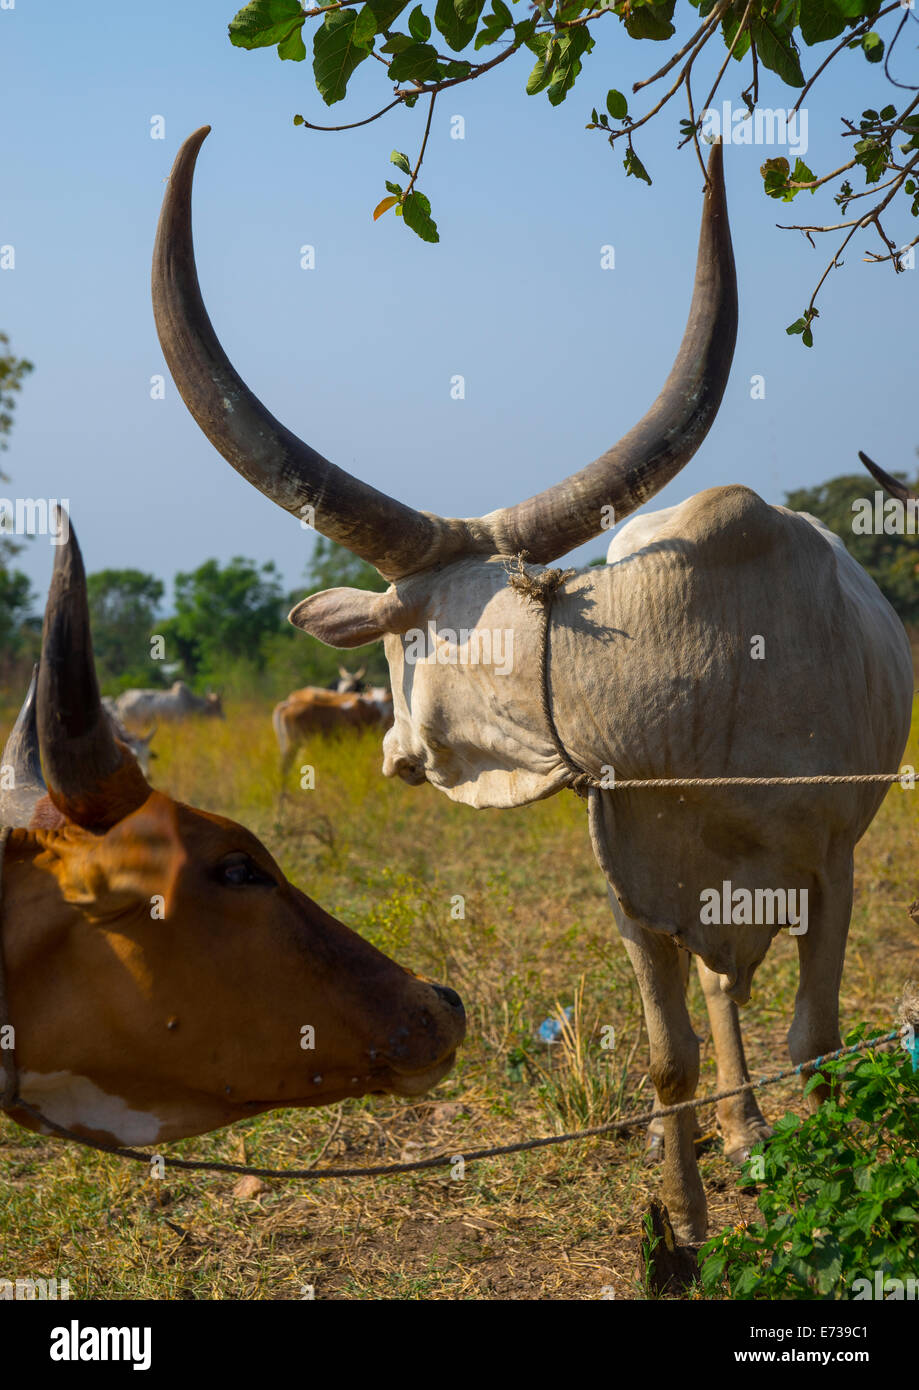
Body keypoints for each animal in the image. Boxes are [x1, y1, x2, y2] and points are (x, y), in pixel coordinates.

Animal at [151, 126, 913, 1241]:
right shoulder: (636, 890)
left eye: (394, 647)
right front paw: (685, 1217)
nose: (390, 750)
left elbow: (813, 1043)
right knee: (718, 993)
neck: (694, 691)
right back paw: (732, 1134)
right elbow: (669, 1056)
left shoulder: (831, 868)